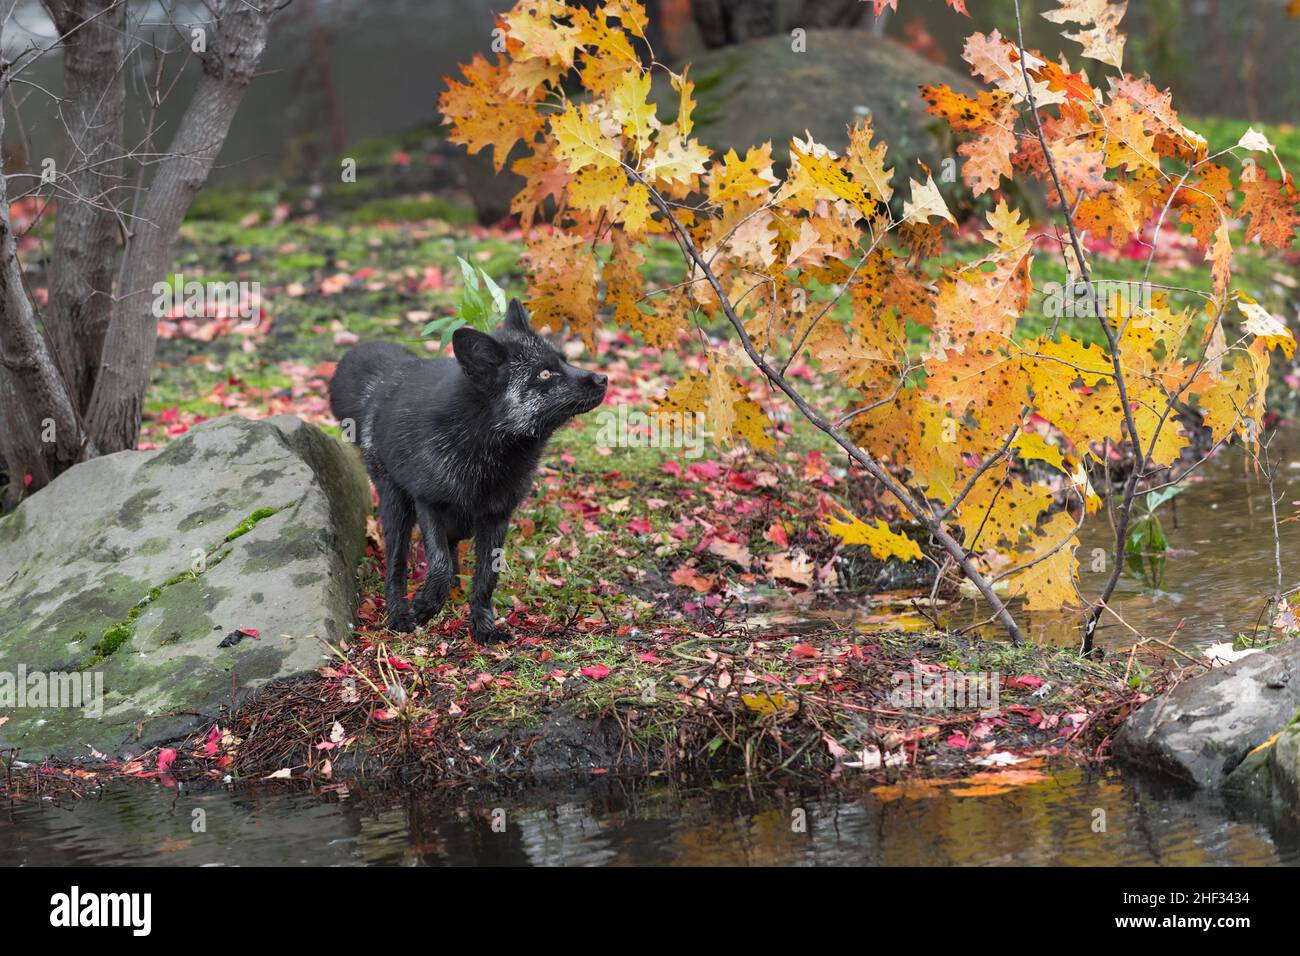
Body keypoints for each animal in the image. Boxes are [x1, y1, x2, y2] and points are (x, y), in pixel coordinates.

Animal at [329, 298, 608, 642]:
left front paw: (483, 626)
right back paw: (399, 613)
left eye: (566, 362)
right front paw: (424, 606)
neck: (486, 455)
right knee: (397, 565)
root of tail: (392, 375)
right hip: (396, 504)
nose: (602, 379)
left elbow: (486, 577)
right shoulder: (429, 503)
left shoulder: (498, 515)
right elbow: (438, 564)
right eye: (544, 373)